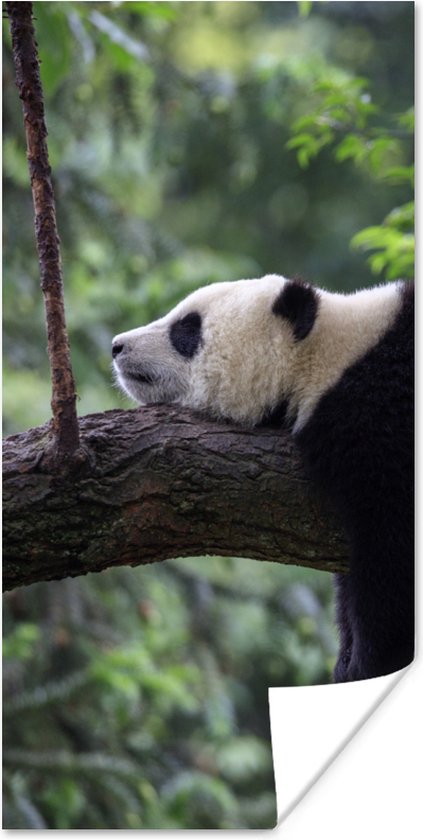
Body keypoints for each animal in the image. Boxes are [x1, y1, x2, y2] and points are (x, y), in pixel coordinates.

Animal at [112, 274, 414, 682]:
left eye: (187, 329)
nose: (116, 346)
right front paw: (348, 662)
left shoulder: (382, 421)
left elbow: (392, 543)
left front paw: (375, 659)